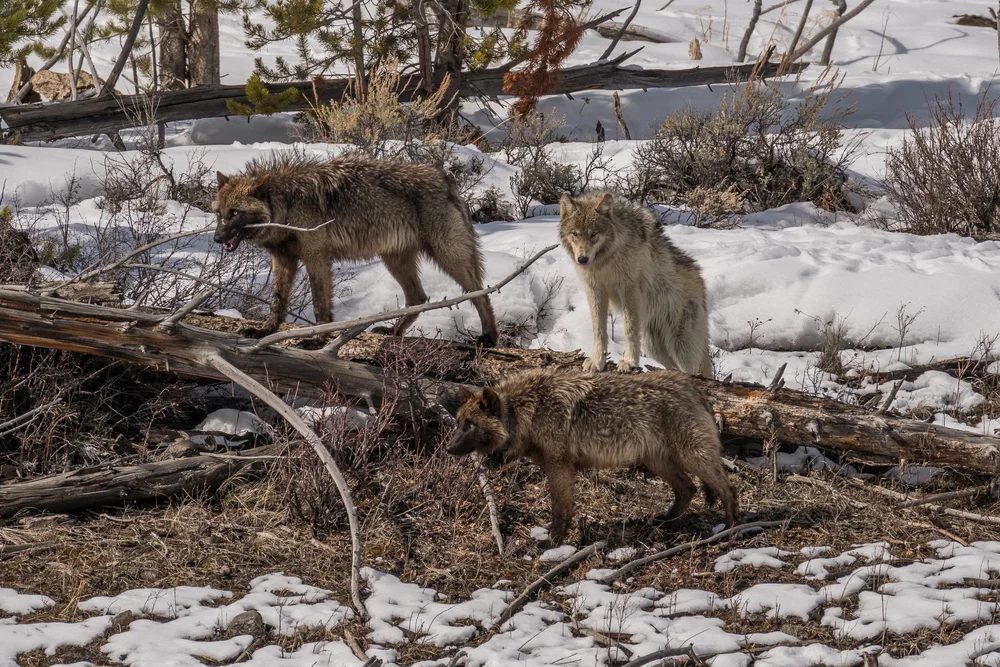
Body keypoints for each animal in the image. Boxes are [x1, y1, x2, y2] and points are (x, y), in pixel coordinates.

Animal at [212, 152, 499, 345]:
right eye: (219, 213)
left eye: (234, 213)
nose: (216, 239)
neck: (286, 206)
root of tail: (444, 177)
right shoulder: (283, 260)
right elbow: (277, 301)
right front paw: (265, 331)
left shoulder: (317, 257)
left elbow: (320, 305)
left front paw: (317, 340)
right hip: (395, 261)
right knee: (418, 297)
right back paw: (393, 332)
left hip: (448, 257)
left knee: (480, 293)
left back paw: (490, 338)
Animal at [446, 368, 738, 545]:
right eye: (459, 422)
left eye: (470, 425)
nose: (448, 449)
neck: (526, 413)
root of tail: (696, 390)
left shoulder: (560, 466)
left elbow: (560, 509)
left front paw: (554, 541)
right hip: (658, 462)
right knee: (688, 489)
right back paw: (666, 522)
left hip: (691, 457)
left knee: (728, 489)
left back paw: (731, 529)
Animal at [559, 191, 712, 377]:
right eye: (575, 233)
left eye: (594, 234)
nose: (582, 259)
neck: (606, 259)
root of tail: (701, 280)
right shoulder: (595, 289)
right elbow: (599, 331)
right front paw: (597, 361)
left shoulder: (629, 289)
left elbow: (629, 329)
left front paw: (629, 362)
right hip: (653, 346)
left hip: (681, 348)